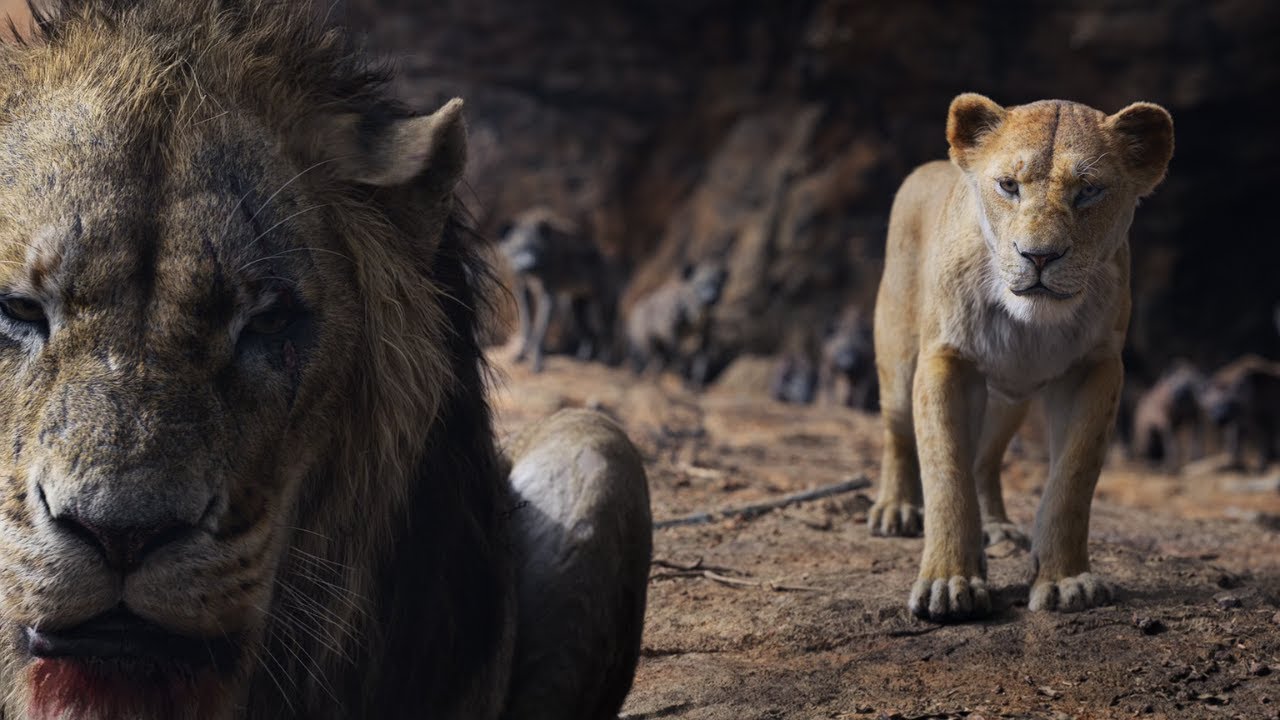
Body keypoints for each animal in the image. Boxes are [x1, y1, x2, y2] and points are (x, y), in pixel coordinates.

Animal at [869, 93, 1173, 621]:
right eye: (1008, 186)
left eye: (1088, 191)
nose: (1039, 256)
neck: (1030, 323)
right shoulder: (944, 360)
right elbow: (945, 471)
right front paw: (948, 582)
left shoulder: (1095, 369)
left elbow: (1072, 480)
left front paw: (1066, 581)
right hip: (899, 361)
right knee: (899, 436)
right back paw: (897, 509)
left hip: (1010, 400)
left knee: (985, 460)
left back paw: (994, 527)